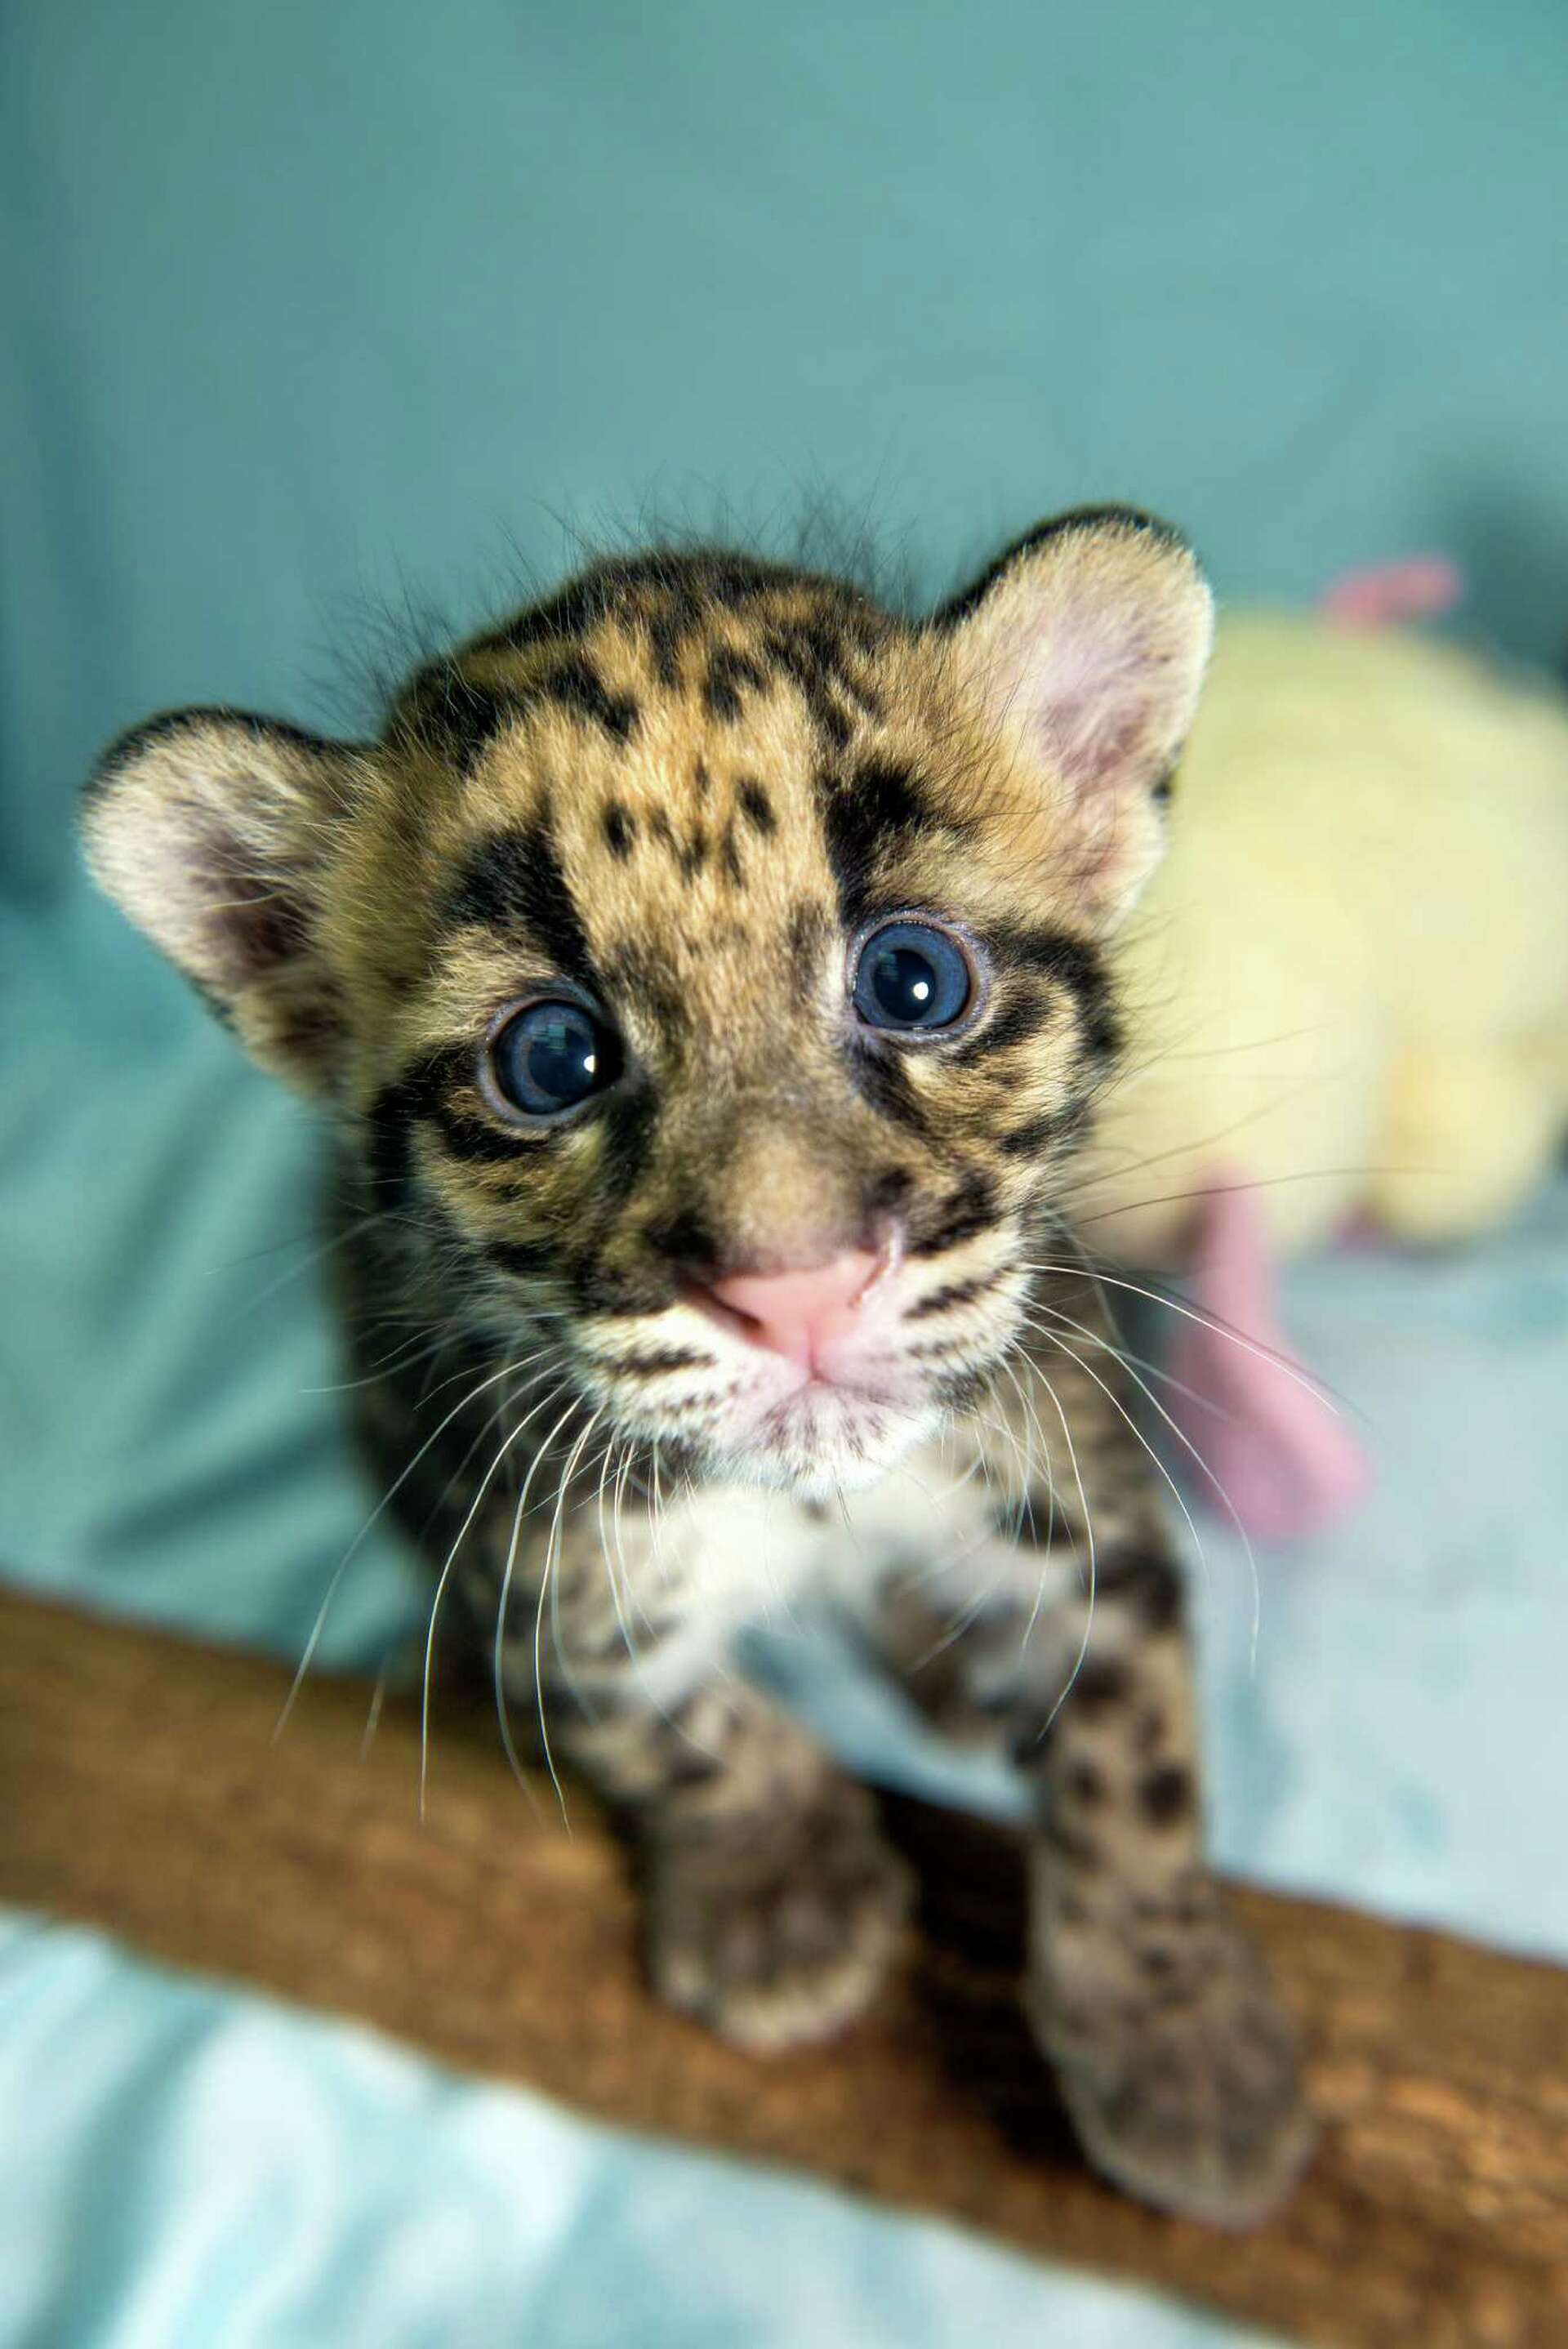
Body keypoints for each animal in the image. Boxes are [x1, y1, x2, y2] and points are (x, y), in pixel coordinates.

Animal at [83, 505, 1314, 2225]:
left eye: (914, 979)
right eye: (551, 1058)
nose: (795, 1289)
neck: (812, 1513)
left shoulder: (1074, 1469)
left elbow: (1135, 1753)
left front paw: (1183, 2037)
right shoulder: (523, 1549)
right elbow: (657, 1716)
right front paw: (786, 1896)